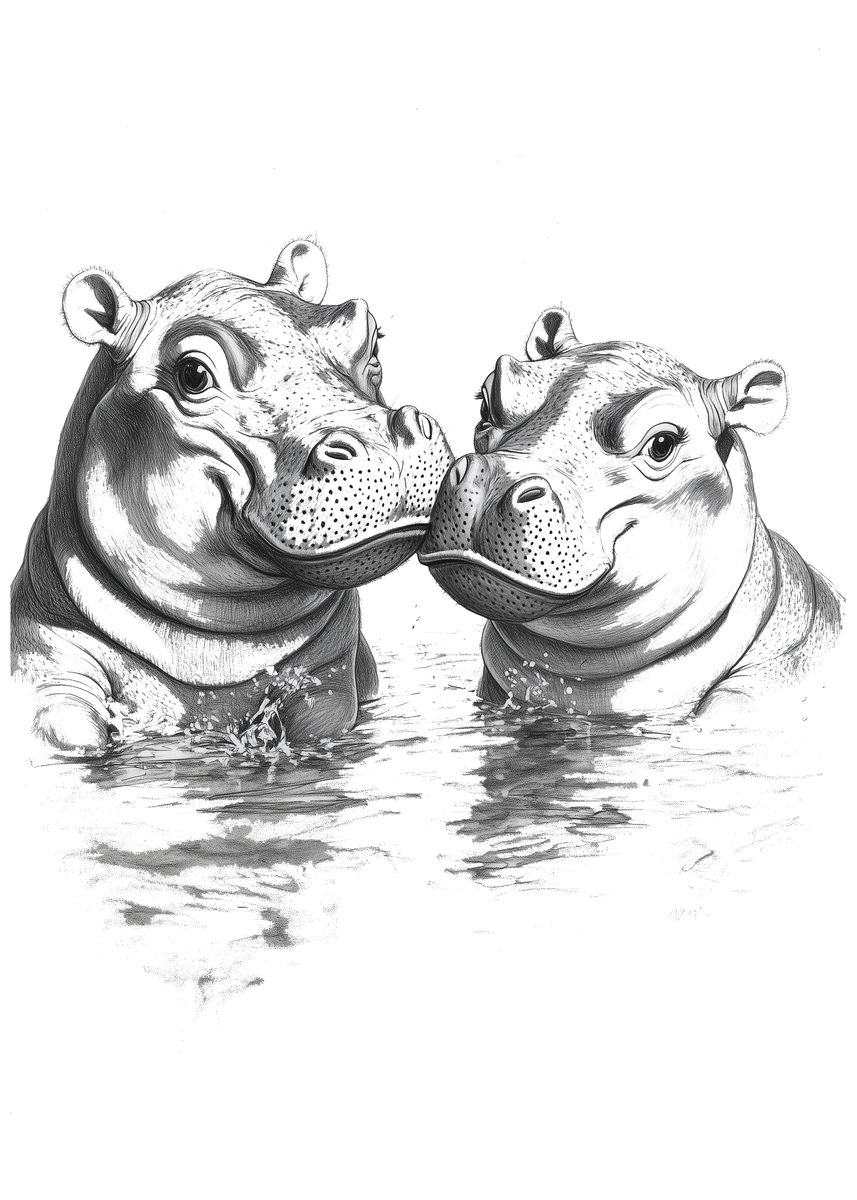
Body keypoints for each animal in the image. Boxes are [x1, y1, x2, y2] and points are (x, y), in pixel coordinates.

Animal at [12, 240, 452, 752]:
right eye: (193, 373)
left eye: (370, 336)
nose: (386, 443)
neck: (213, 653)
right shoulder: (50, 661)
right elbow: (65, 729)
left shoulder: (327, 676)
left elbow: (321, 723)